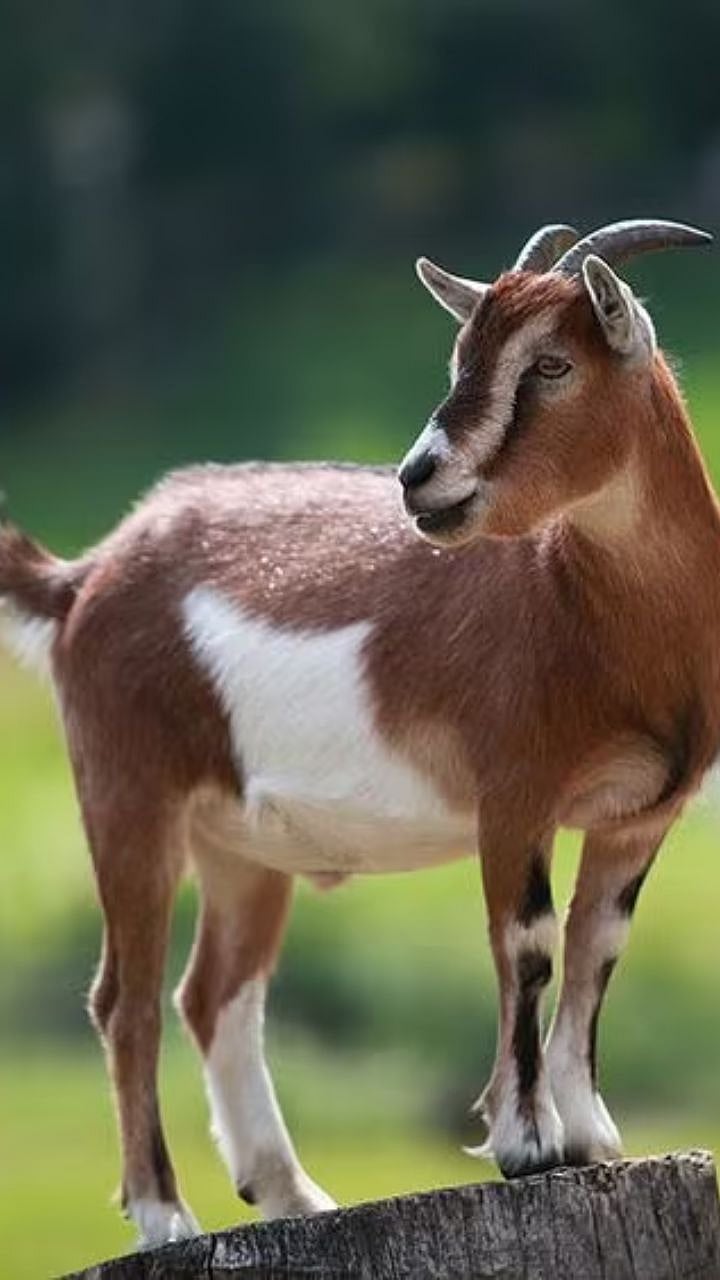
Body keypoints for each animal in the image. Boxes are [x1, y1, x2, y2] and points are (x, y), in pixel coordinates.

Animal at [1, 218, 718, 1247]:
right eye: (462, 354)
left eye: (550, 364)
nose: (418, 478)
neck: (584, 605)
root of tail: (85, 575)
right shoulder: (515, 795)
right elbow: (530, 943)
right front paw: (527, 1144)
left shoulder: (639, 816)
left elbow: (597, 948)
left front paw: (590, 1137)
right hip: (128, 793)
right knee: (125, 1000)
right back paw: (165, 1214)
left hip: (238, 846)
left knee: (213, 995)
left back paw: (290, 1193)